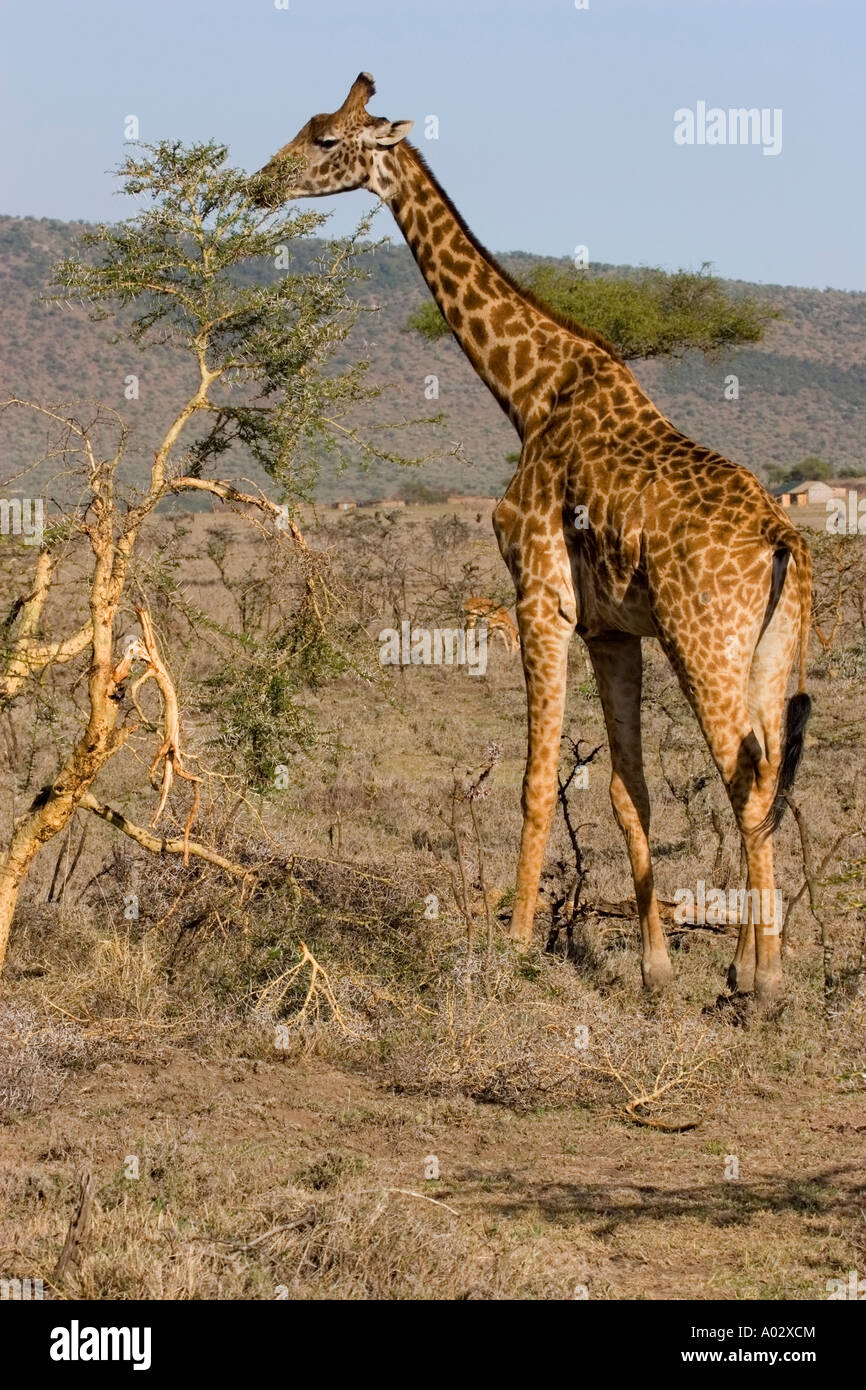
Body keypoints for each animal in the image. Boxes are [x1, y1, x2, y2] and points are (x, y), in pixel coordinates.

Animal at [252, 74, 813, 1004]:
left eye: (327, 138)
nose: (260, 185)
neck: (531, 390)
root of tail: (781, 538)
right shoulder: (612, 629)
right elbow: (628, 790)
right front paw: (654, 965)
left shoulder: (539, 597)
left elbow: (537, 780)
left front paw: (513, 944)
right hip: (768, 649)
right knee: (764, 775)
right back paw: (747, 963)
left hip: (706, 639)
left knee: (747, 775)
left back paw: (760, 978)